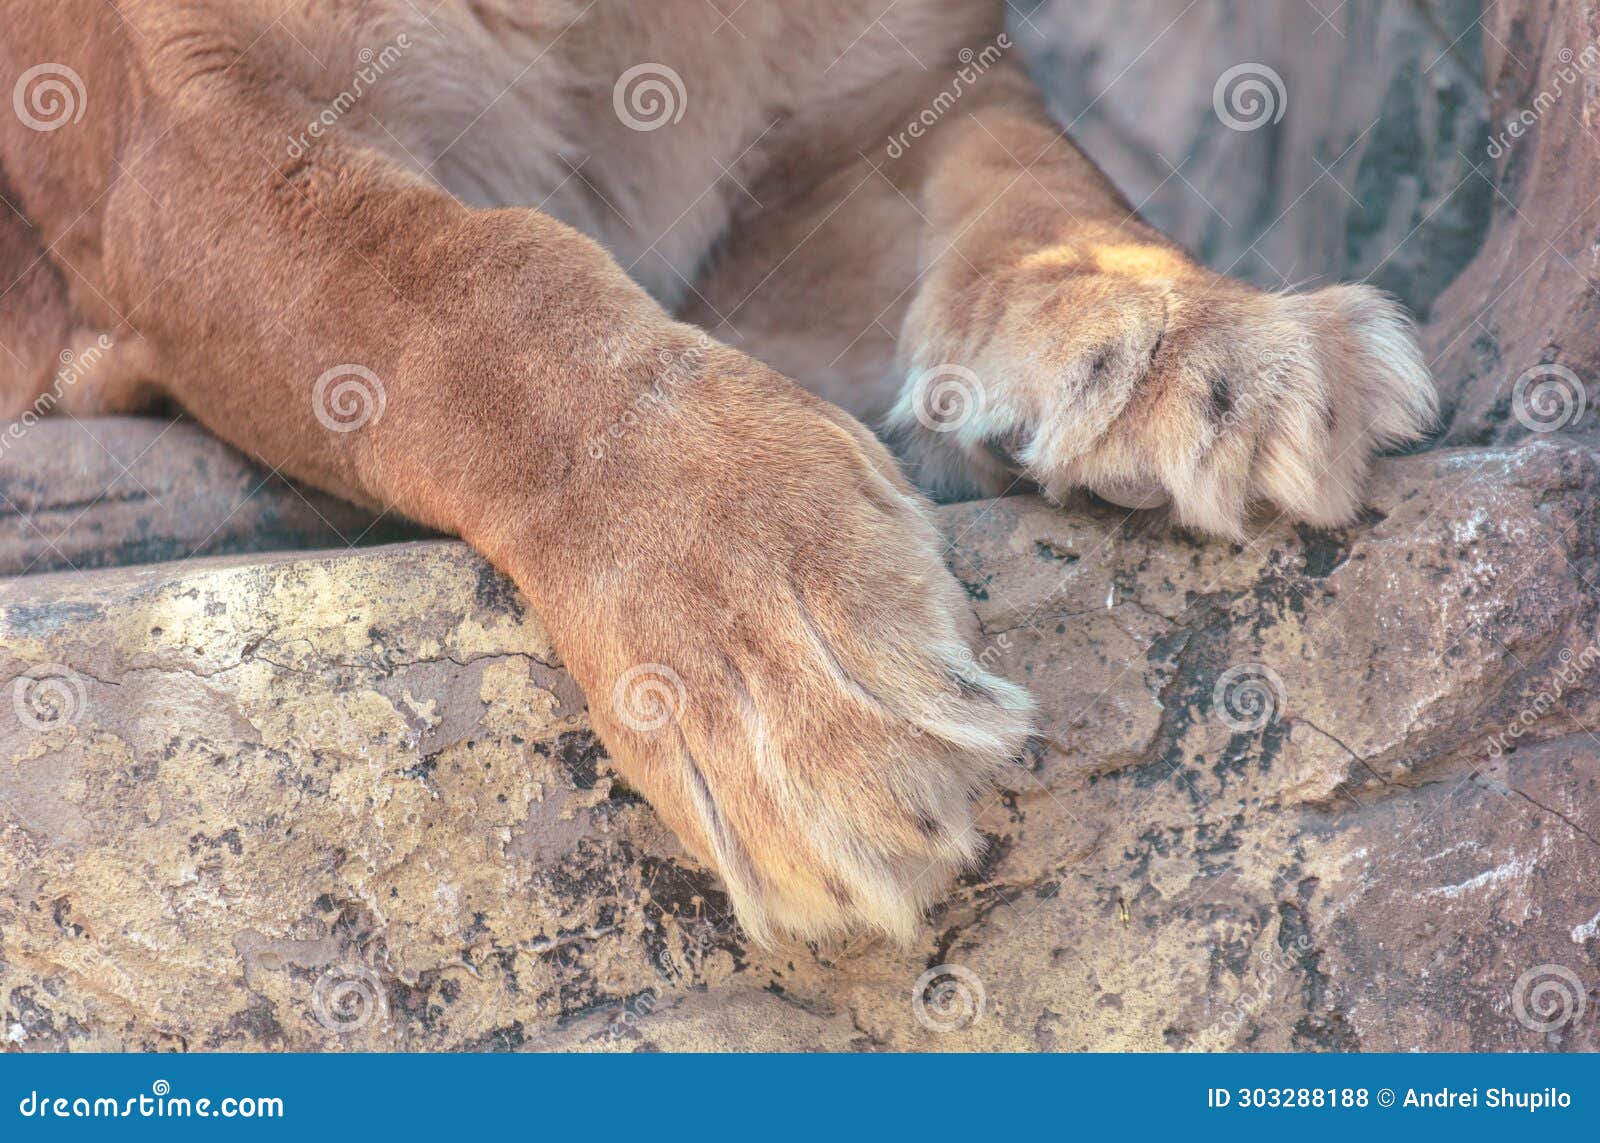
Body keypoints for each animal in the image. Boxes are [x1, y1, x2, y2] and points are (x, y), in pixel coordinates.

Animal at [0, 0, 1435, 945]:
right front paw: (784, 666)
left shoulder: (881, 103)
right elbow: (464, 282)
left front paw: (1205, 343)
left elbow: (1043, 185)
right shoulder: (176, 130)